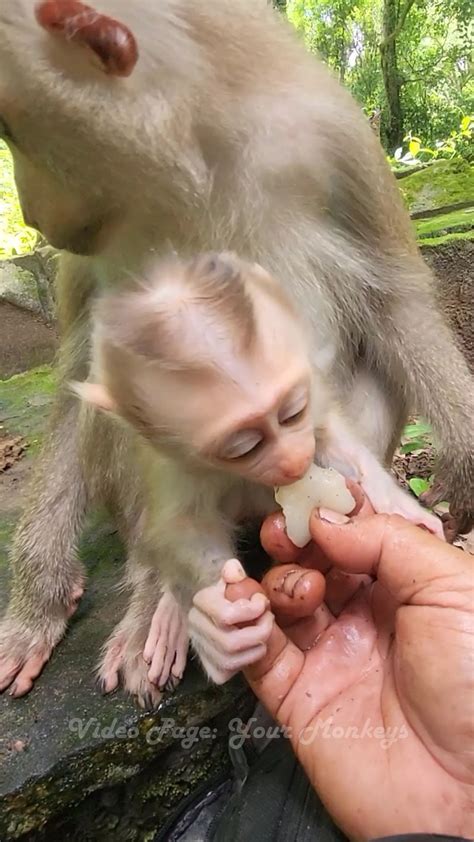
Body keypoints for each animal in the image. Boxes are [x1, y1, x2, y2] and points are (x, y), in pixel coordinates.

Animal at [73, 252, 443, 687]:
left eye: (292, 412)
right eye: (243, 447)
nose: (294, 460)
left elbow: (331, 436)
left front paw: (398, 507)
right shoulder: (172, 462)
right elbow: (182, 523)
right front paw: (218, 622)